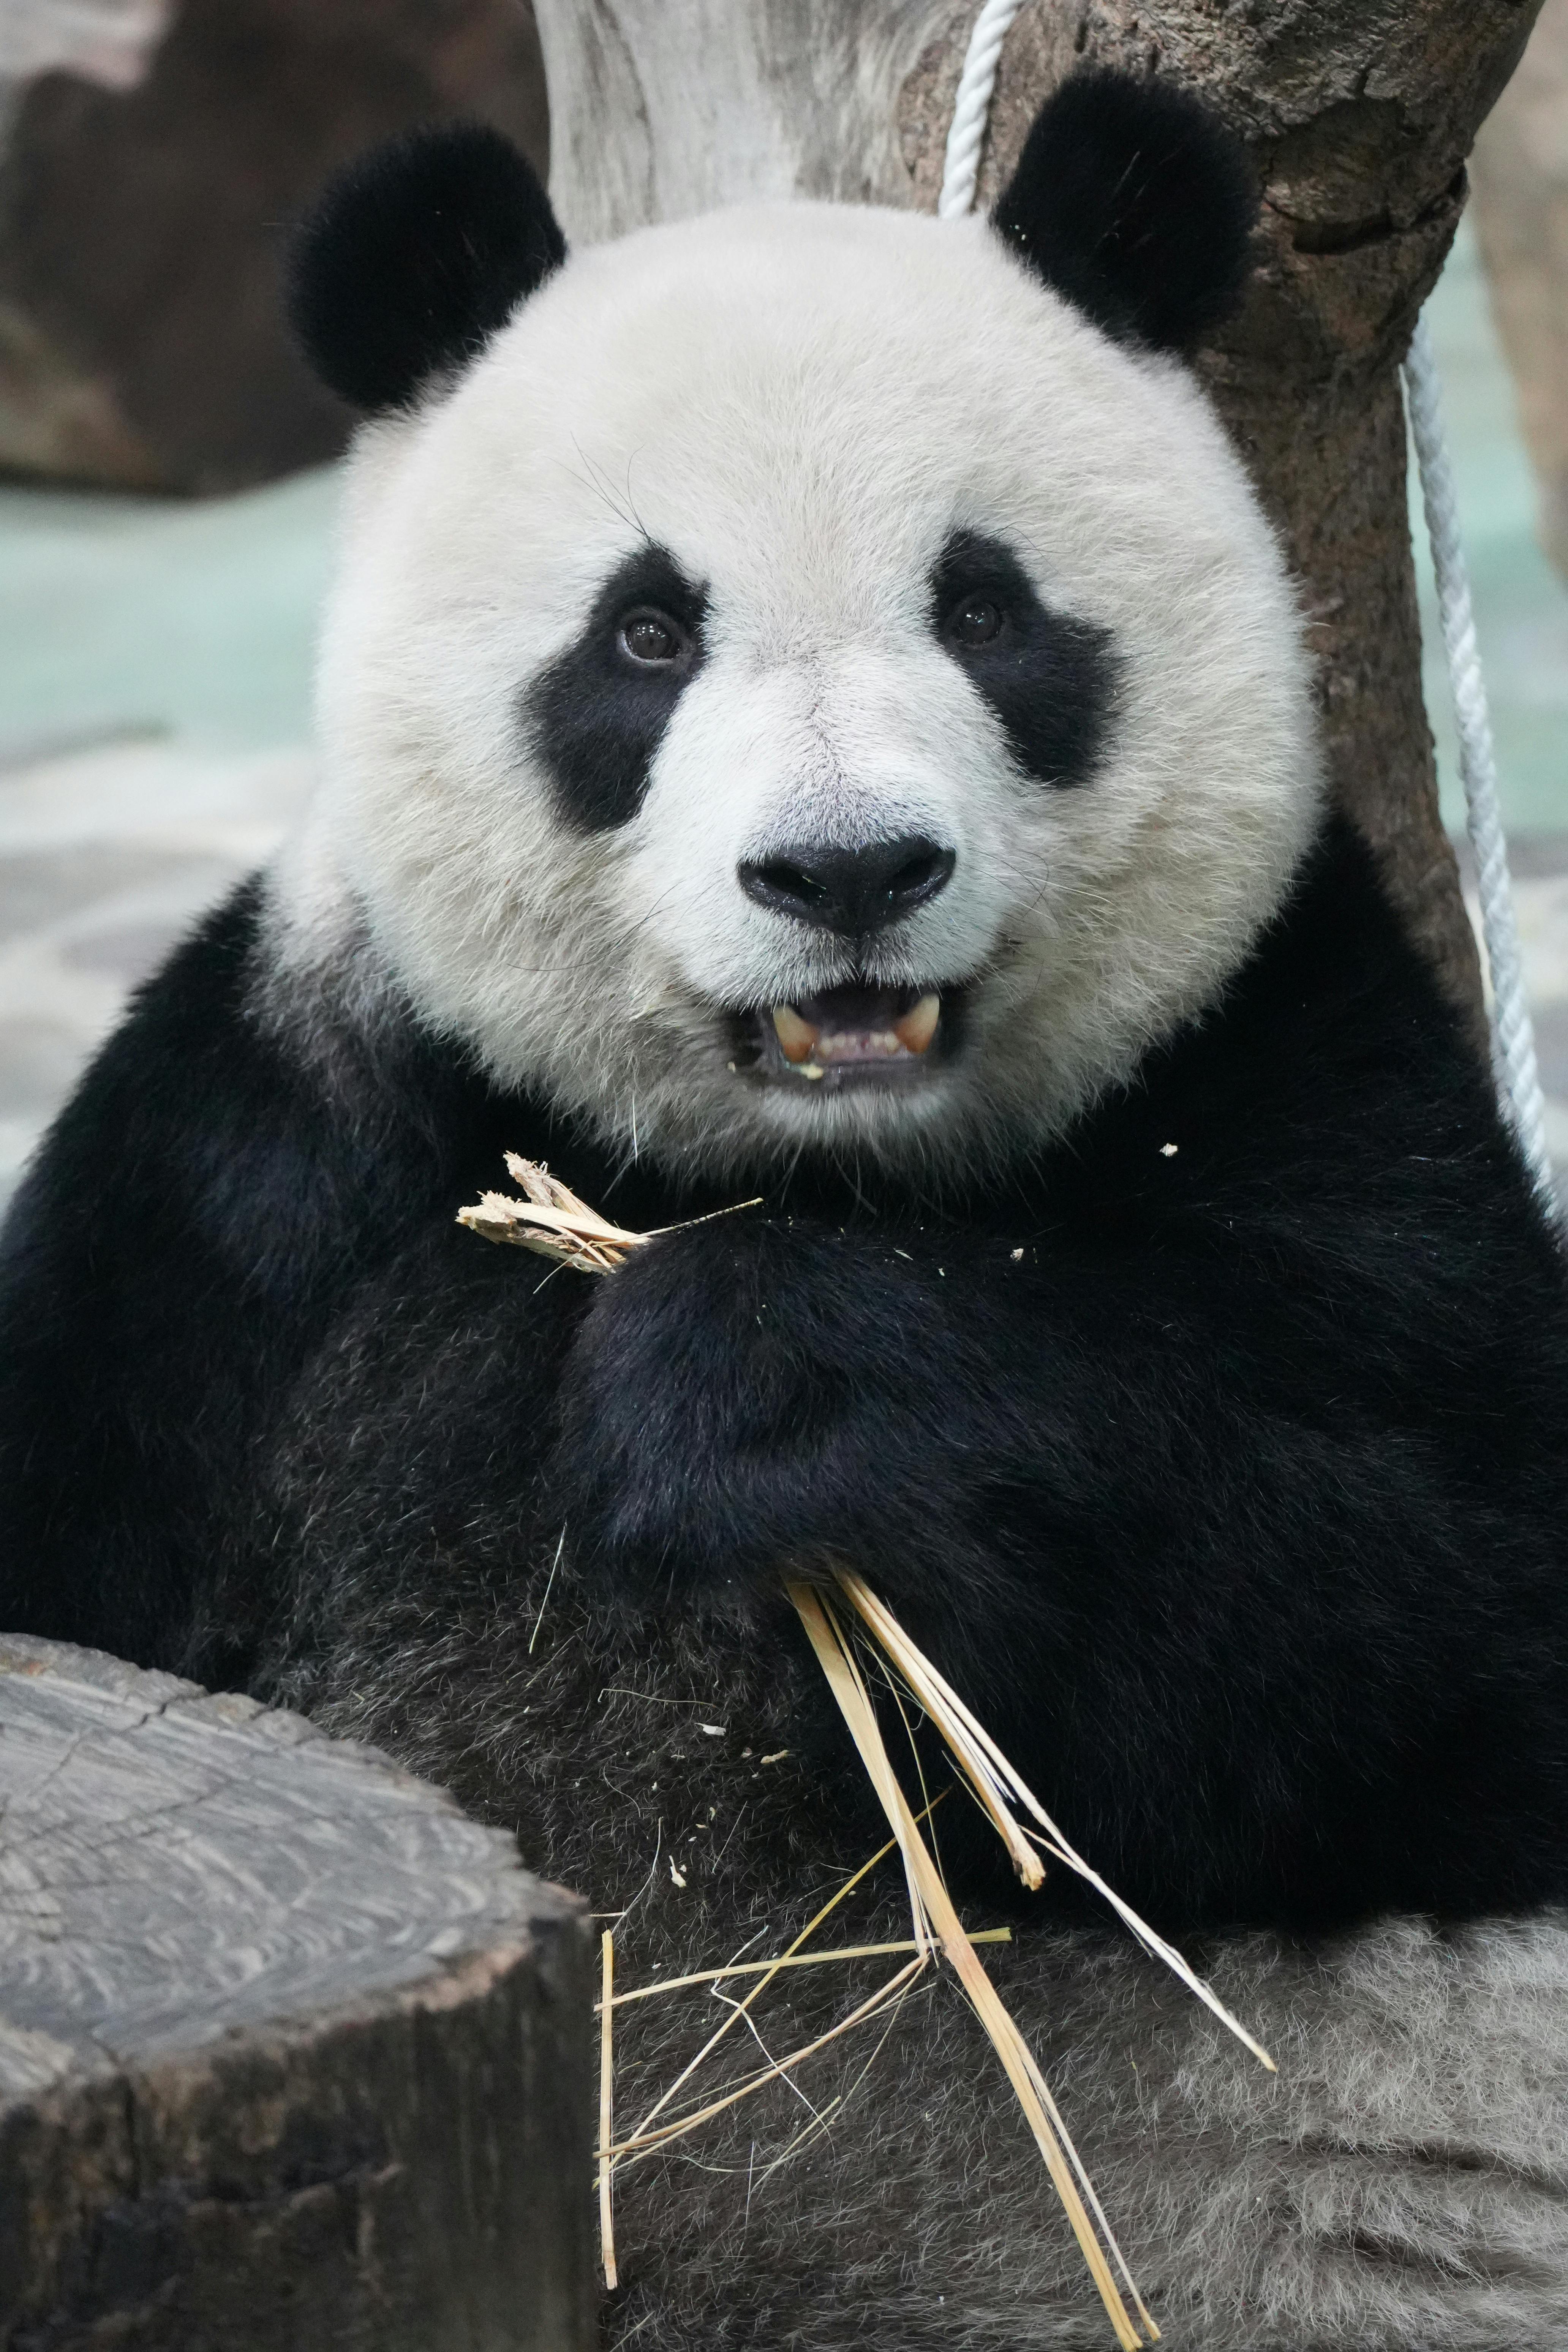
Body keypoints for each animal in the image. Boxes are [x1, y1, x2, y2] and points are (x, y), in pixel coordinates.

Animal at [5, 64, 1568, 2349]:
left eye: (986, 610)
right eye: (646, 633)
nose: (847, 874)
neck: (790, 1161)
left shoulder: (1298, 1063)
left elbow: (1449, 1619)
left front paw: (760, 1385)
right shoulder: (263, 1178)